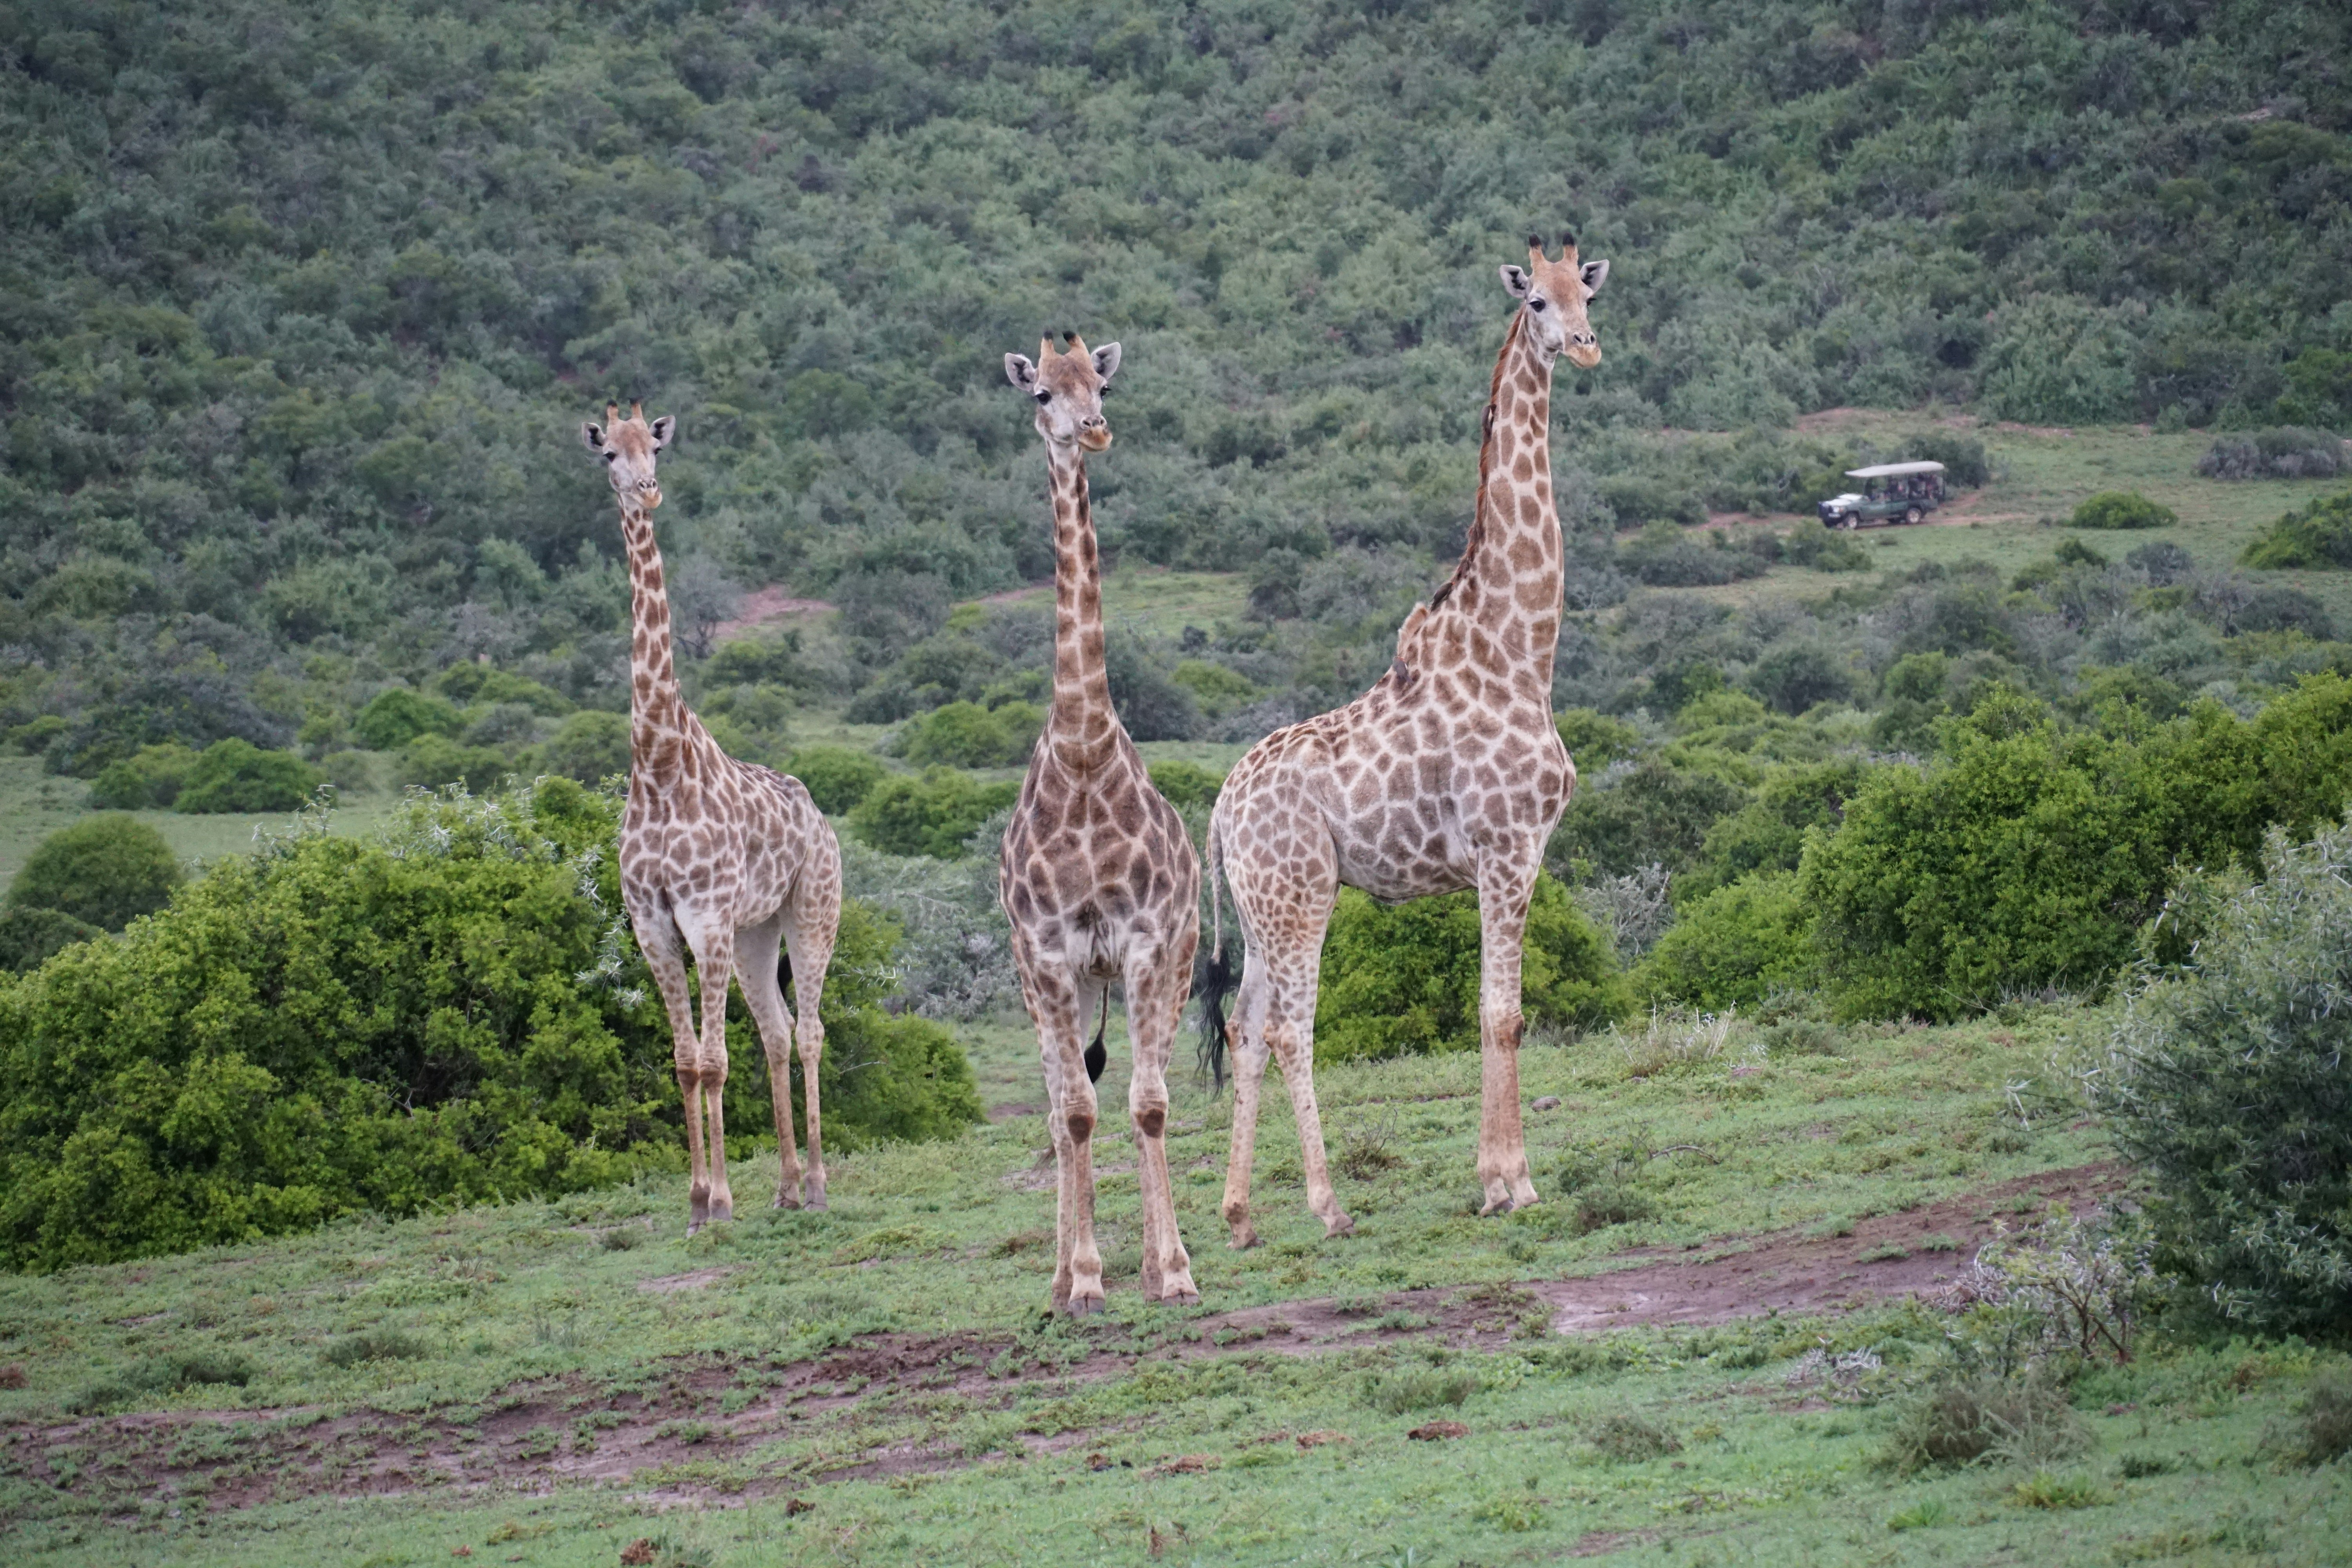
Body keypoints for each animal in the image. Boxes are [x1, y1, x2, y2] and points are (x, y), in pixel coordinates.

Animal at [579, 402, 844, 1233]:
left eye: (656, 447)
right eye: (609, 455)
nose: (649, 491)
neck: (660, 761)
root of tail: (819, 814)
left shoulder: (705, 916)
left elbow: (714, 1059)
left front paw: (722, 1199)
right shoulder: (653, 922)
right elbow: (686, 1060)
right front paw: (696, 1200)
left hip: (811, 907)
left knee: (811, 1031)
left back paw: (817, 1184)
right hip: (758, 931)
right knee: (777, 1030)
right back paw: (785, 1187)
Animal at [1199, 235, 1609, 1243]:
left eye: (1588, 294)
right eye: (1536, 302)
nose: (1583, 347)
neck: (1521, 648)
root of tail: (1219, 810)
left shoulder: (1514, 853)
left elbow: (1494, 1008)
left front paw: (1499, 1175)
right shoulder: (1510, 844)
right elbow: (1501, 1011)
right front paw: (1509, 1182)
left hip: (1261, 908)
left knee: (1244, 1025)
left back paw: (1240, 1215)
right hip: (1303, 896)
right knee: (1289, 1026)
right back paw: (1327, 1204)